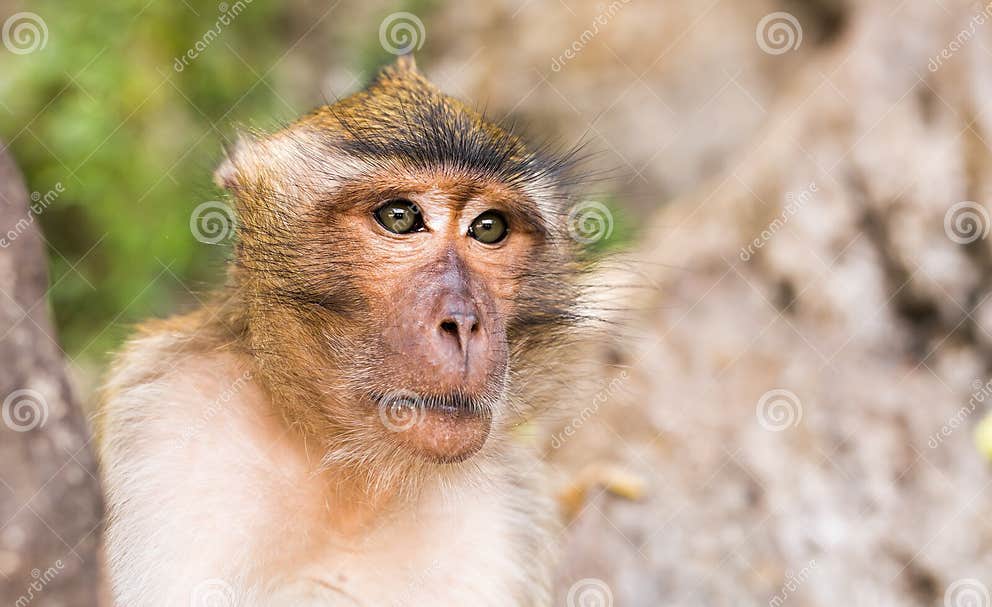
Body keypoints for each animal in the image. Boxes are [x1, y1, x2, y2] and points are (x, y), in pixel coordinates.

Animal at [96, 54, 588, 606]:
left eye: (488, 228)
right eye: (400, 217)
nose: (463, 322)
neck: (353, 483)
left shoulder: (507, 511)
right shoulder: (166, 422)